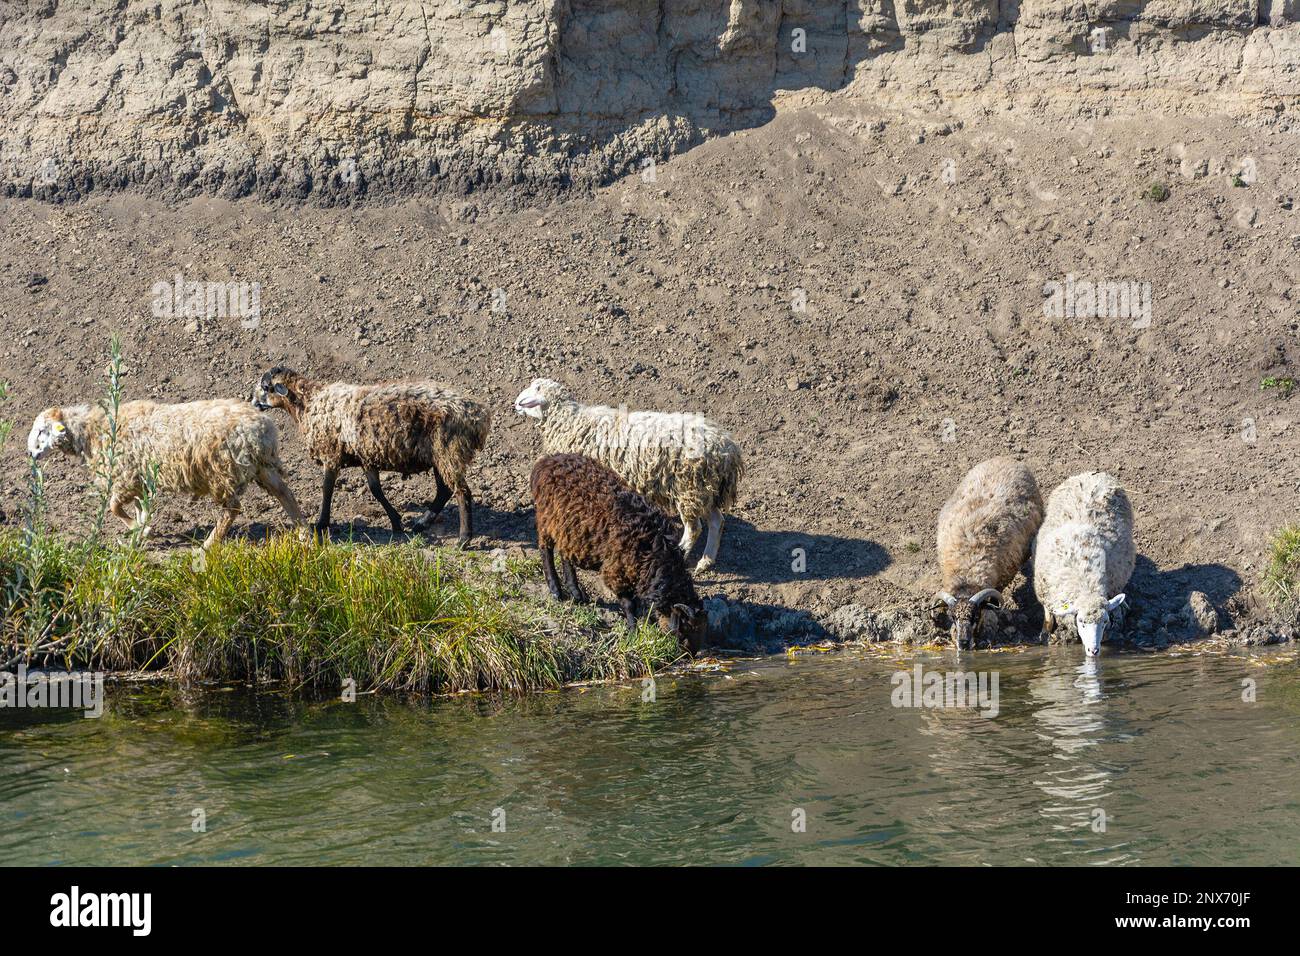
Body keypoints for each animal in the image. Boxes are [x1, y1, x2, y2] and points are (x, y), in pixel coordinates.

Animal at [26, 399, 304, 548]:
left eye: (42, 430)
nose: (31, 454)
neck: (95, 432)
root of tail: (264, 428)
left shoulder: (126, 478)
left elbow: (114, 508)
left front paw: (140, 530)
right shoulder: (138, 480)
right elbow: (139, 508)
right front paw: (140, 531)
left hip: (222, 471)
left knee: (232, 510)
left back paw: (208, 544)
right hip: (262, 466)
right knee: (285, 494)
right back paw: (303, 533)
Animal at [253, 367, 491, 546]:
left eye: (266, 387)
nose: (254, 403)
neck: (310, 402)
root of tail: (479, 416)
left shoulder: (331, 453)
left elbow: (327, 488)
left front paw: (322, 523)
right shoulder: (367, 457)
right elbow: (376, 490)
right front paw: (396, 522)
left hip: (449, 450)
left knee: (461, 492)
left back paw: (463, 539)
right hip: (439, 455)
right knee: (444, 490)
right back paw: (421, 524)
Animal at [513, 378, 744, 573]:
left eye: (536, 390)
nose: (515, 404)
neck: (569, 422)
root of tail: (727, 448)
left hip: (688, 487)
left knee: (694, 529)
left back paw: (682, 553)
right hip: (705, 490)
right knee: (717, 522)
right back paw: (706, 562)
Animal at [530, 453, 707, 655]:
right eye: (684, 629)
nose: (692, 654)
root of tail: (545, 461)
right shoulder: (617, 571)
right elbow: (629, 604)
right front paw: (633, 631)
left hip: (568, 531)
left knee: (566, 557)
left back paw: (576, 593)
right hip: (546, 519)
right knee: (546, 551)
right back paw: (556, 591)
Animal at [1033, 471, 1136, 657]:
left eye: (1104, 621)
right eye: (1081, 621)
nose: (1093, 650)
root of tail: (1094, 474)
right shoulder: (1044, 591)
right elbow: (1048, 615)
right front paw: (1045, 633)